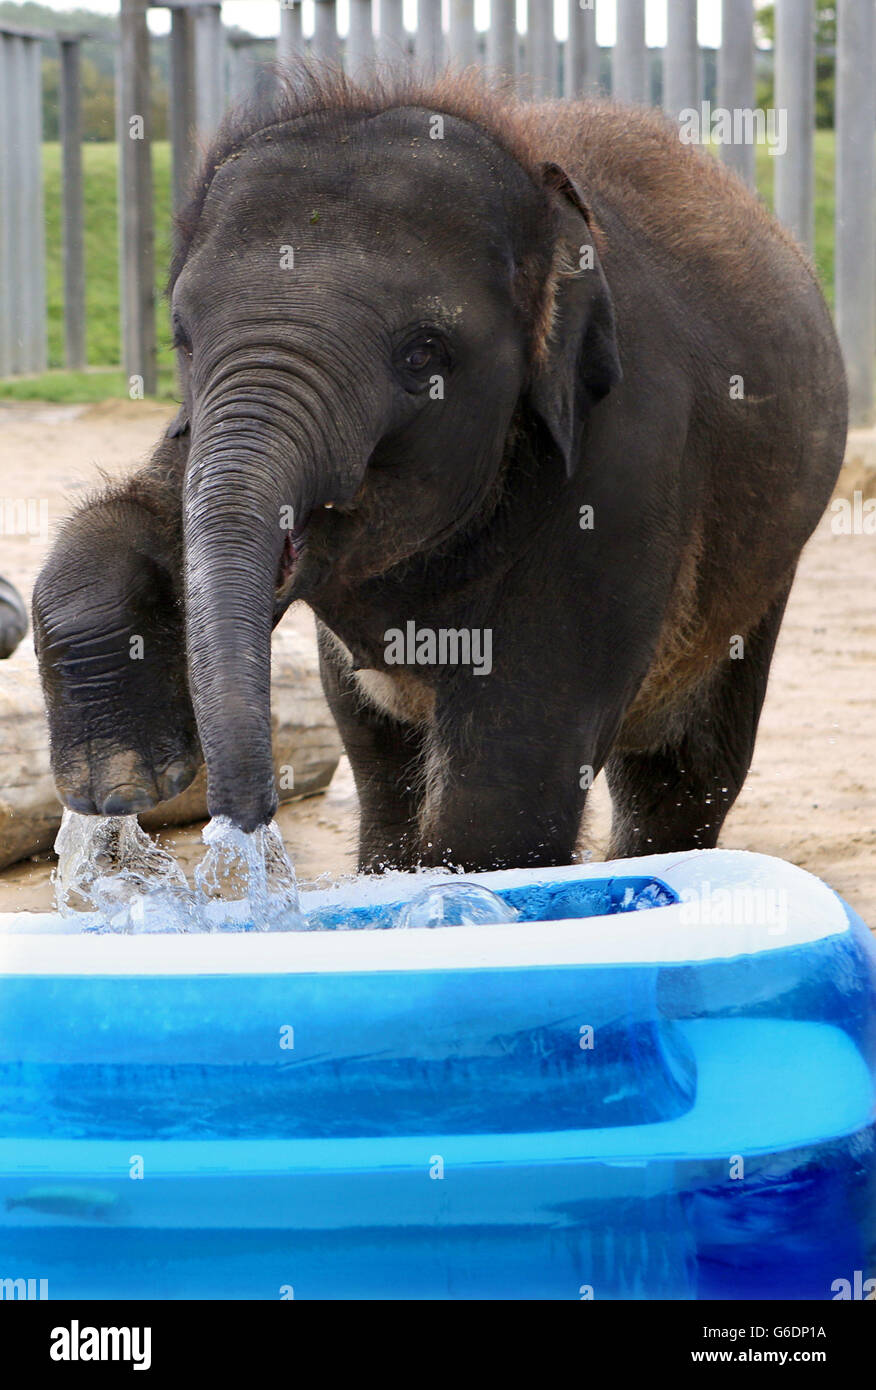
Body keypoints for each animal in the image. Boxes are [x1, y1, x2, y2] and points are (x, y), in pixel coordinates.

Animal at [32, 69, 847, 872]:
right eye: (183, 337)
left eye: (423, 354)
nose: (245, 818)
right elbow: (153, 509)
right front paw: (120, 776)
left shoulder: (628, 460)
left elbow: (508, 785)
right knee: (380, 757)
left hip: (763, 577)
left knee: (683, 770)